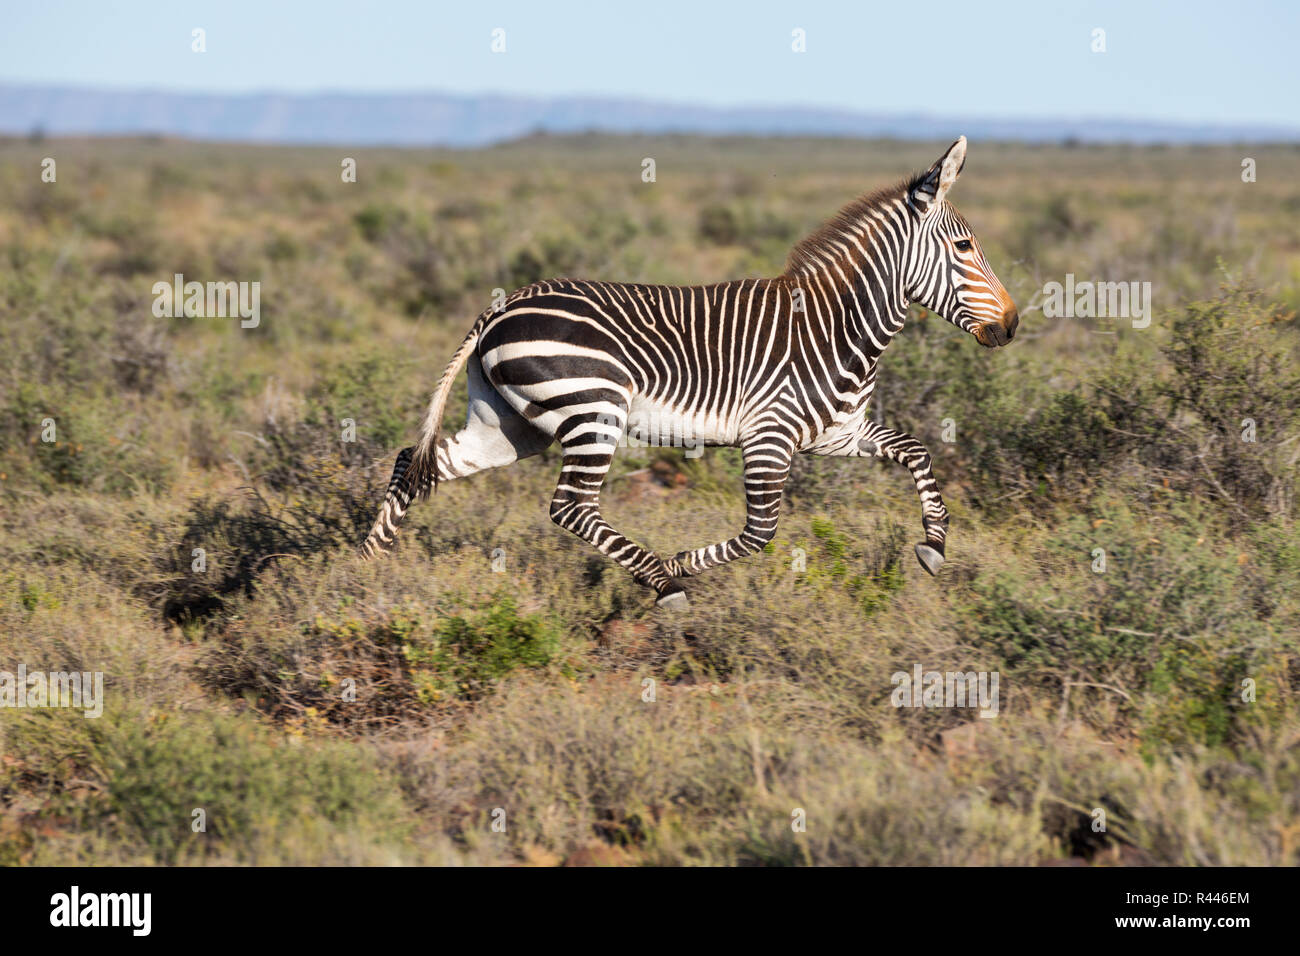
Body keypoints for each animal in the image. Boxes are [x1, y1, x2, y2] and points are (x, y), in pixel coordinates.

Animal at [361, 137, 1018, 609]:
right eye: (964, 248)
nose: (1011, 325)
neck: (838, 327)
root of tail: (500, 305)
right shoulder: (770, 435)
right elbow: (761, 532)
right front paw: (678, 567)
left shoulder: (837, 433)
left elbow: (916, 451)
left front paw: (934, 545)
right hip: (593, 410)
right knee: (569, 507)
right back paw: (662, 583)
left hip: (511, 424)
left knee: (421, 463)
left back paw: (364, 572)